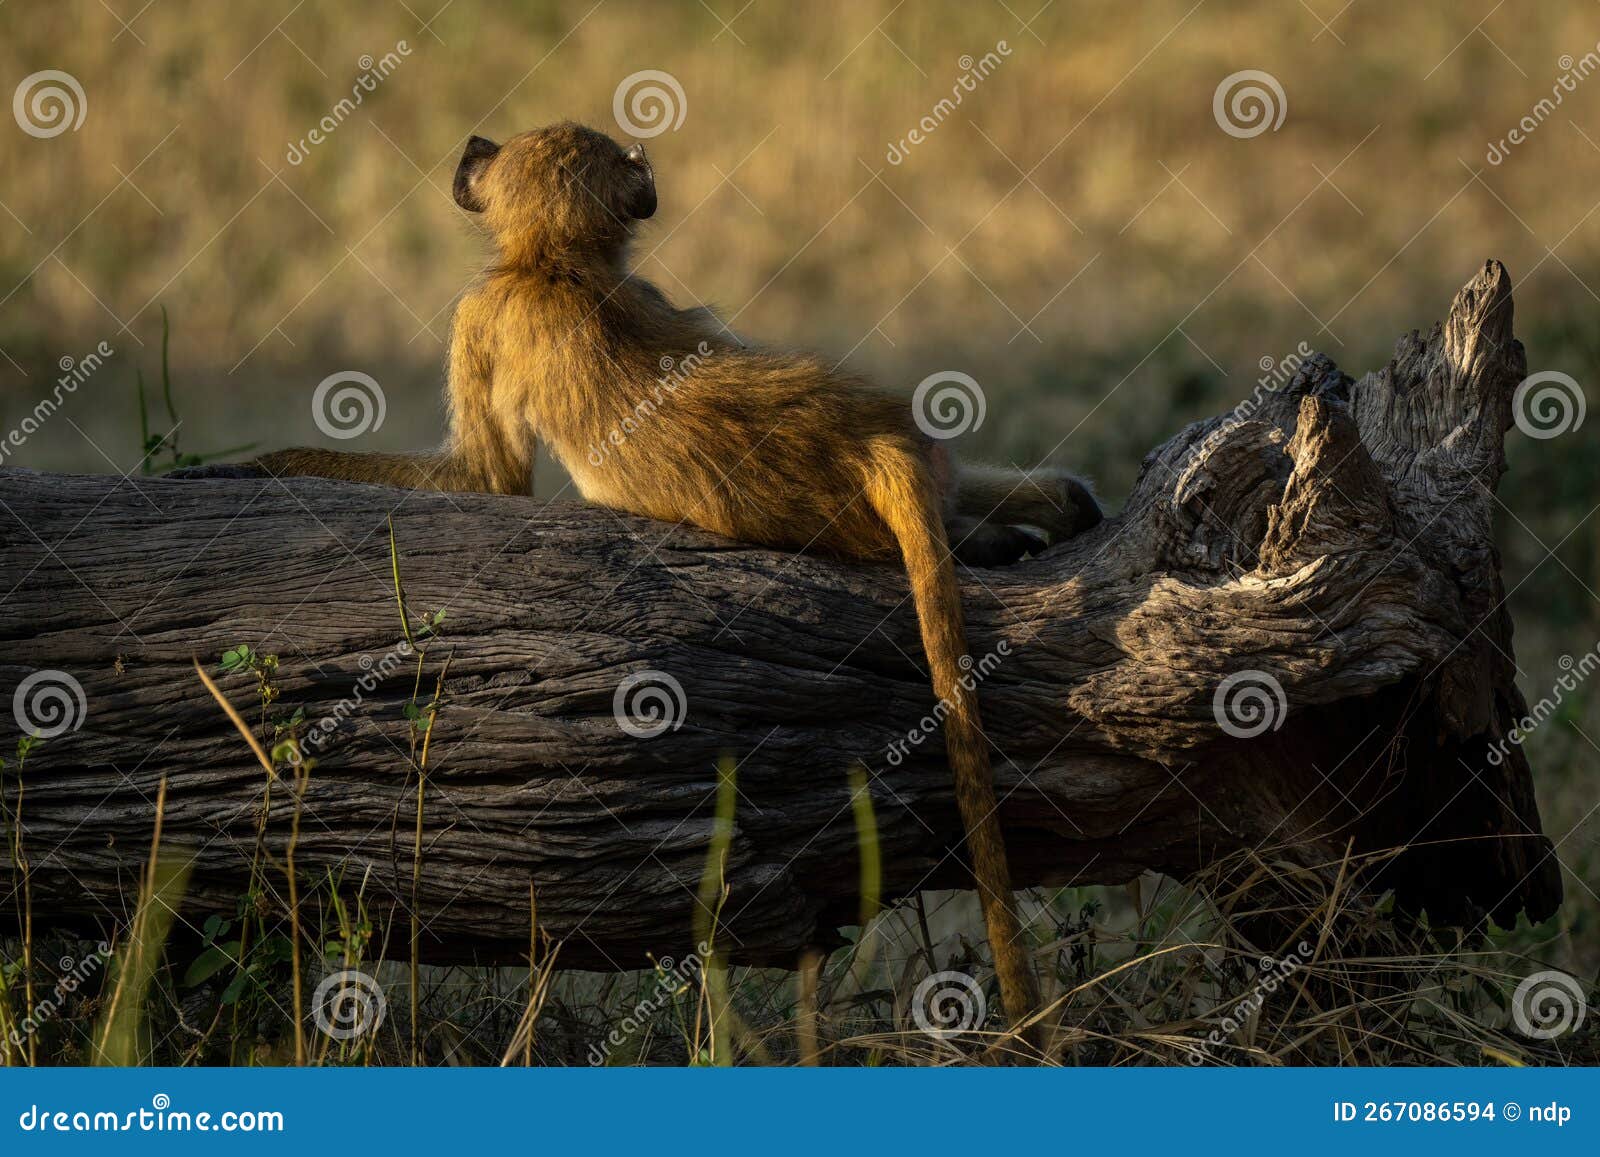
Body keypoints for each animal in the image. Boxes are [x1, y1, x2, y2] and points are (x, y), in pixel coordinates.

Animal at [175, 123, 1102, 1036]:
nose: (471, 146)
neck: (556, 260)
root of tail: (872, 439)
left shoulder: (480, 315)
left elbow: (485, 480)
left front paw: (249, 468)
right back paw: (1044, 516)